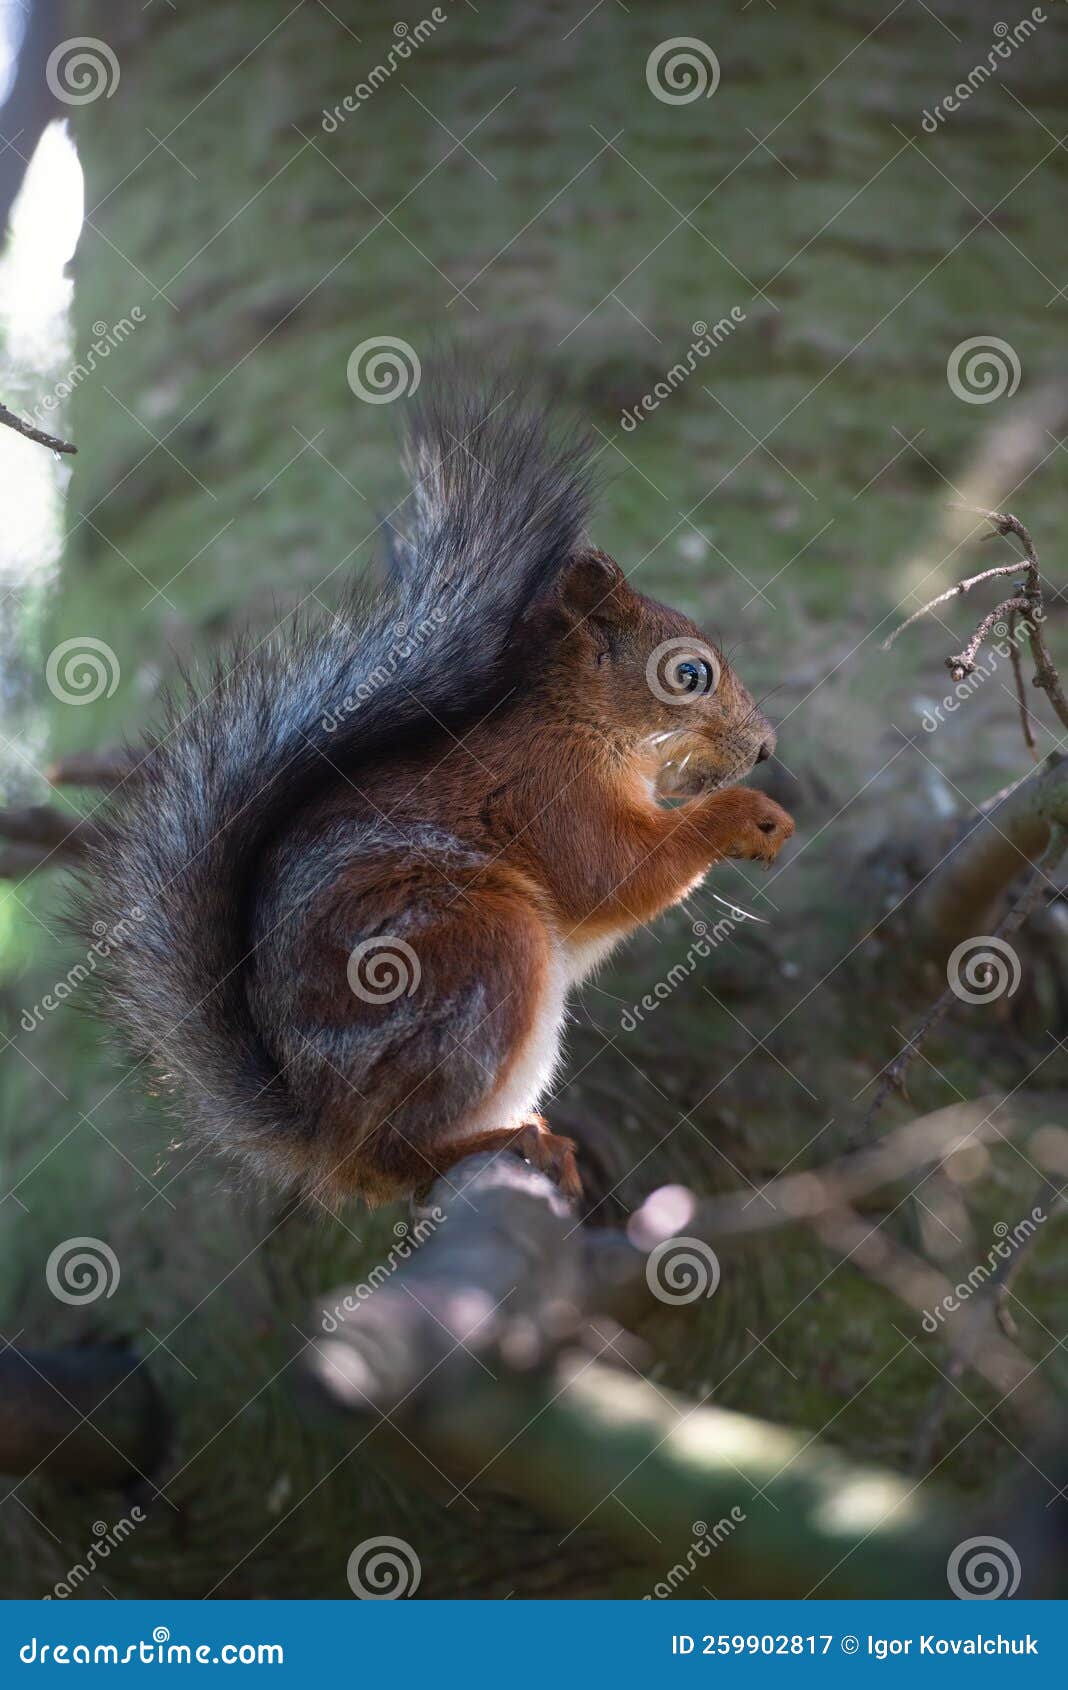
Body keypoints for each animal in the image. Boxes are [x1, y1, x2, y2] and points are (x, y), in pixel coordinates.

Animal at [80, 384, 793, 1209]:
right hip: (471, 956)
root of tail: (323, 1134)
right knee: (397, 1154)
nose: (766, 747)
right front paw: (749, 817)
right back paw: (497, 1141)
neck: (584, 723)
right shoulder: (548, 788)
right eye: (689, 675)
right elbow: (610, 872)